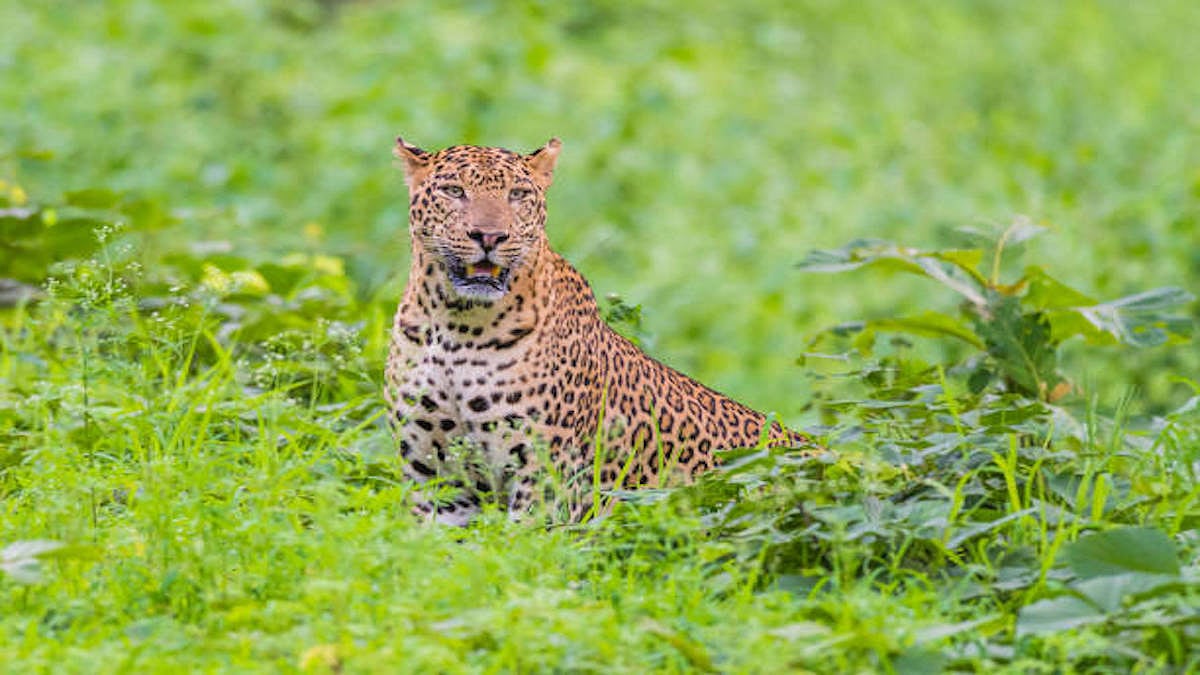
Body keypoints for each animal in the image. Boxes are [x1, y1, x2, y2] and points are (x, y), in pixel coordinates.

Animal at [385, 136, 816, 525]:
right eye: (454, 191)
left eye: (517, 194)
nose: (489, 236)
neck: (457, 326)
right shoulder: (433, 476)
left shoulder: (544, 476)